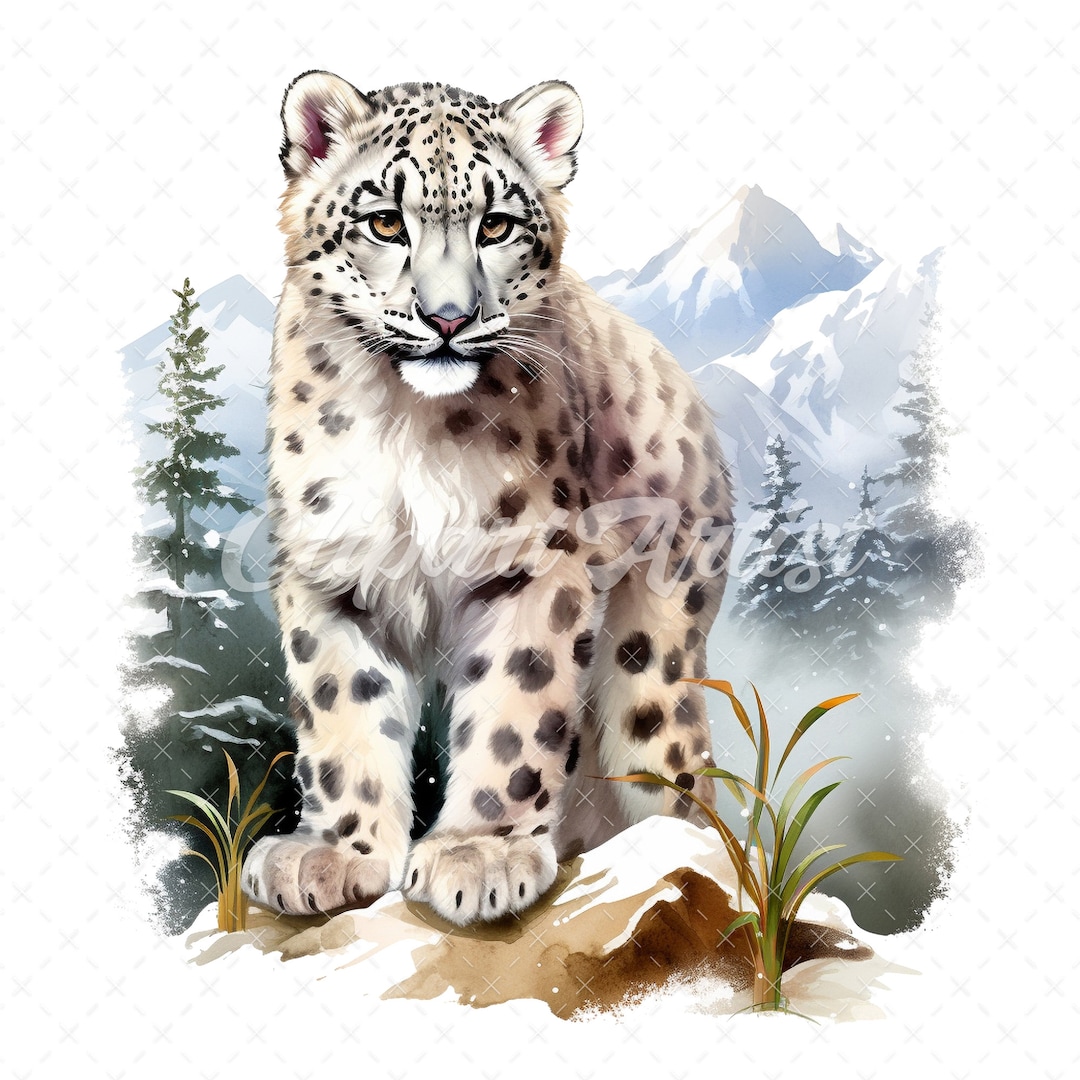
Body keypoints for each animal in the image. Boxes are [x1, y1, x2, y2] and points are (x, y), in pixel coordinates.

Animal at [241, 70, 733, 926]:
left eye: (497, 223)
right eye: (384, 219)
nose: (448, 318)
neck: (406, 424)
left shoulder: (533, 561)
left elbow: (515, 706)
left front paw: (481, 852)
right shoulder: (331, 566)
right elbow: (342, 710)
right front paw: (336, 853)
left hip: (655, 647)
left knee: (675, 773)